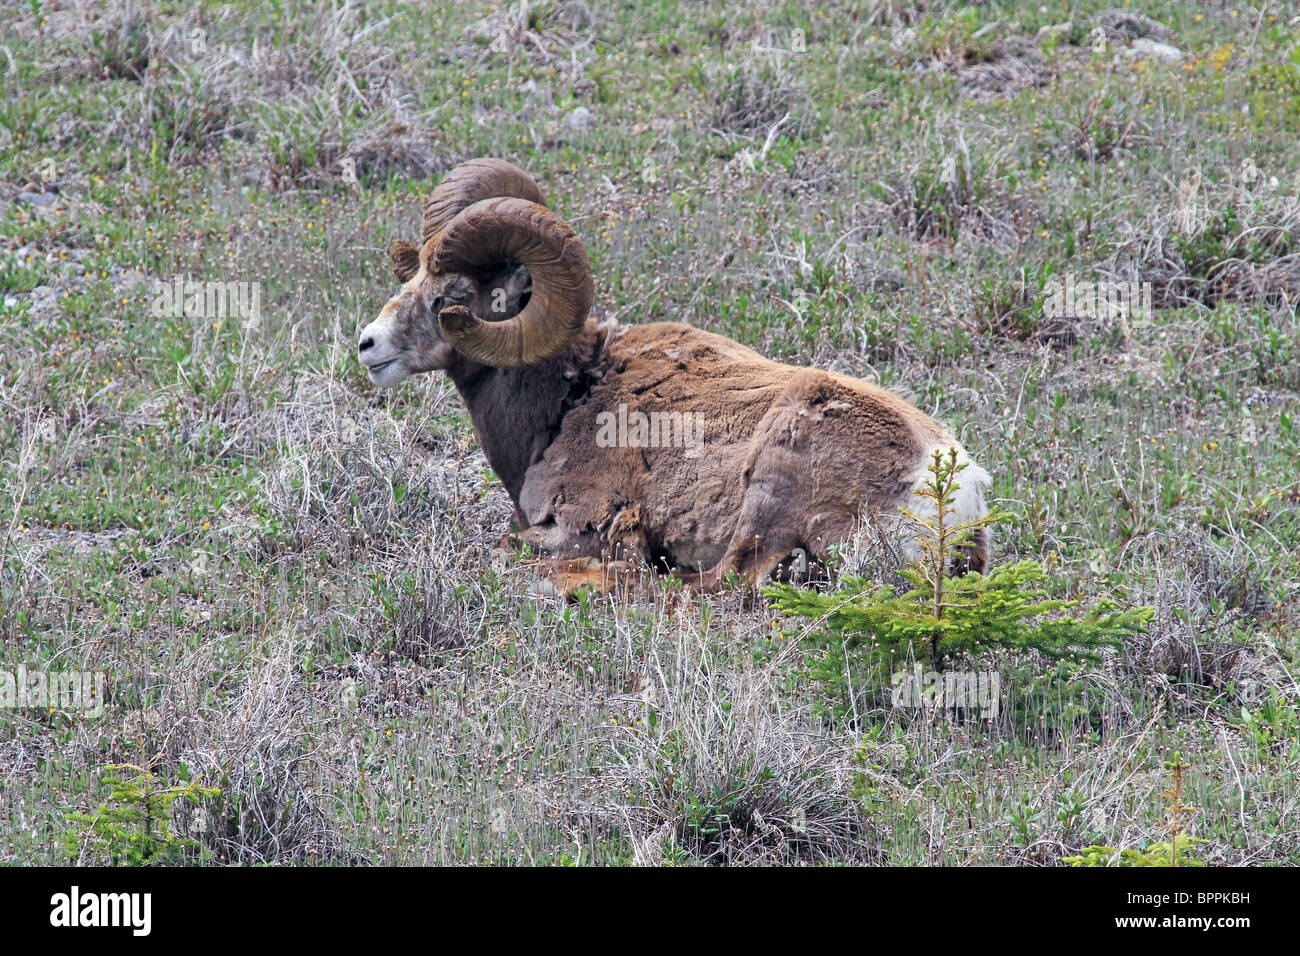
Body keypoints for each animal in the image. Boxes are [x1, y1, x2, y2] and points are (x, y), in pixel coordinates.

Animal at [358, 158, 991, 594]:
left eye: (452, 296)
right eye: (411, 275)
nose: (367, 345)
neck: (567, 399)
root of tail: (949, 489)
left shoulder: (573, 528)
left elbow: (498, 548)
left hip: (770, 492)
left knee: (713, 587)